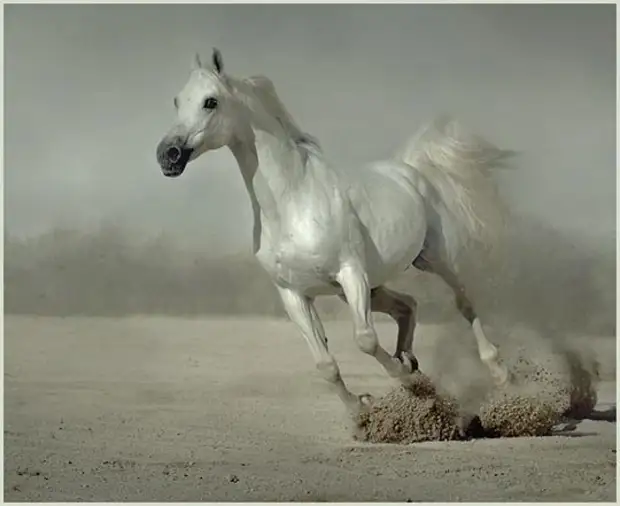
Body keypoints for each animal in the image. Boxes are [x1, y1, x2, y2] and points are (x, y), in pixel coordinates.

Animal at [157, 47, 512, 414]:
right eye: (177, 100)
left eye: (210, 101)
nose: (168, 155)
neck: (293, 203)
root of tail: (407, 169)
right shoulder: (294, 294)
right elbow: (325, 364)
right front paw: (362, 408)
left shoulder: (350, 273)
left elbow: (365, 340)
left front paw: (408, 382)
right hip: (367, 286)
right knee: (408, 305)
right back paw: (409, 359)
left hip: (431, 258)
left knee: (463, 302)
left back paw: (498, 372)